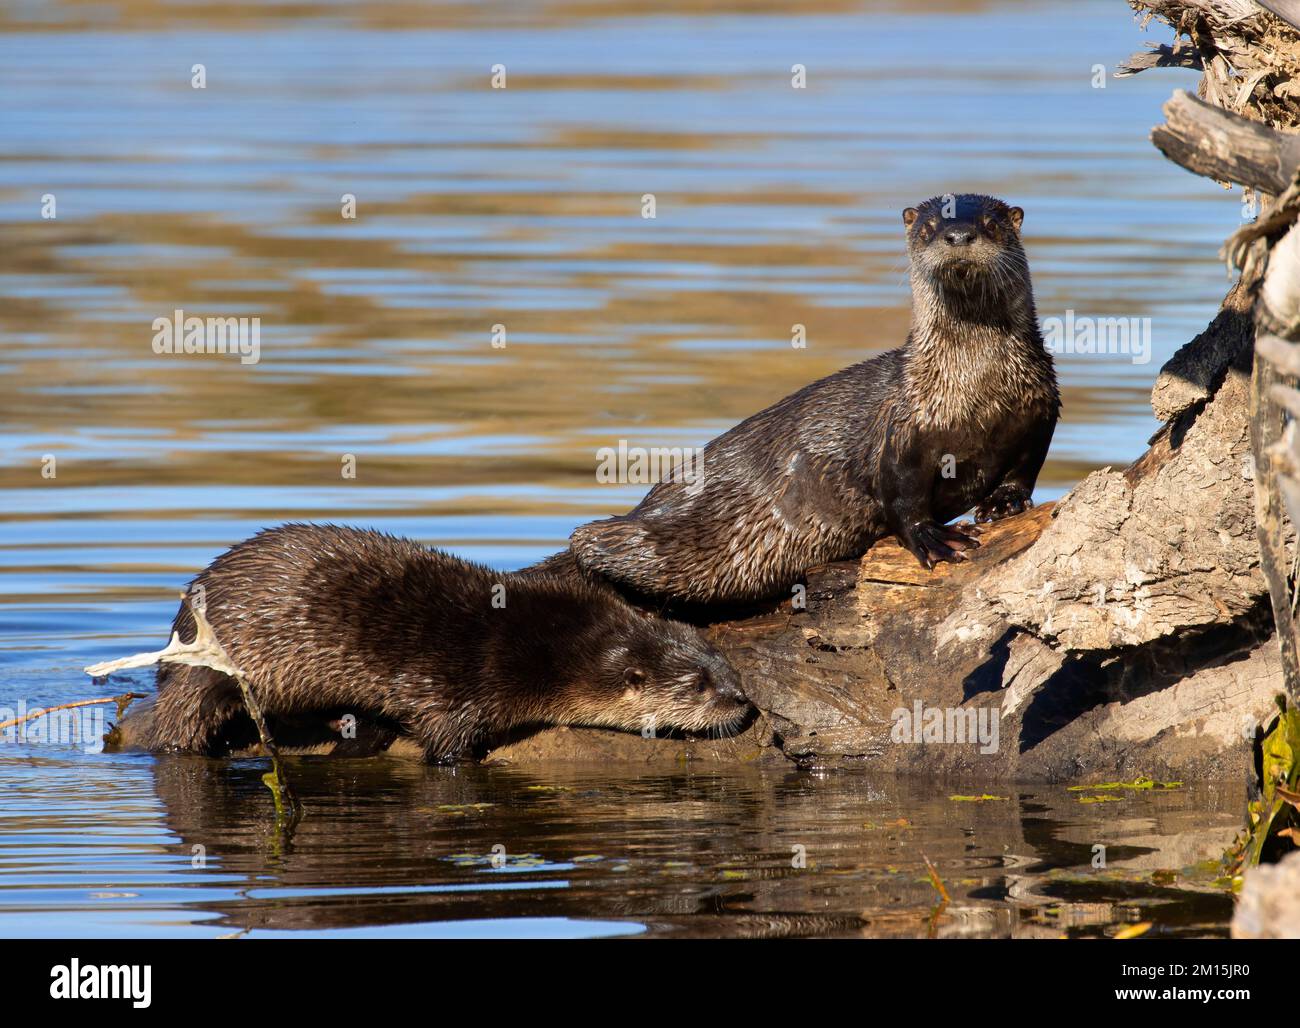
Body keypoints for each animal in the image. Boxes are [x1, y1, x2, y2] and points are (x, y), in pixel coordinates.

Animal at [134, 523, 750, 762]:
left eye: (723, 665)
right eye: (700, 686)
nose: (743, 702)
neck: (548, 649)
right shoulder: (459, 692)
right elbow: (445, 746)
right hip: (213, 668)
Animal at [531, 194, 1058, 605]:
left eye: (990, 223)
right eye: (929, 228)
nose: (957, 236)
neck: (978, 392)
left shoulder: (1040, 403)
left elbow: (1028, 461)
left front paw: (1004, 502)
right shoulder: (904, 423)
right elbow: (900, 492)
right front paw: (931, 537)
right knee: (587, 539)